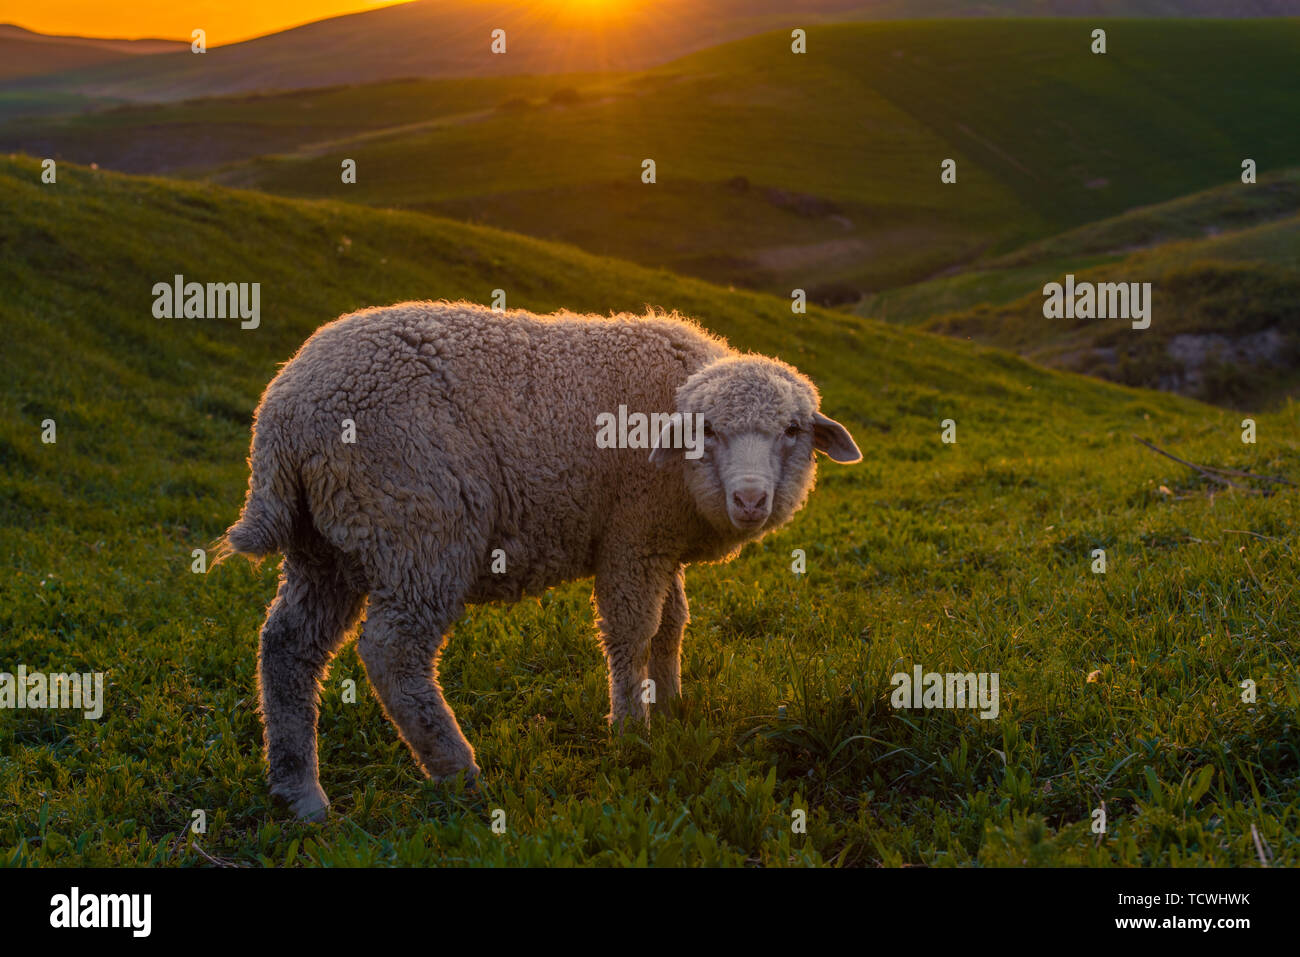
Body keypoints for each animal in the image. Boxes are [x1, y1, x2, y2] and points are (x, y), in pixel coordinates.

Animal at [221, 300, 860, 820]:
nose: (750, 499)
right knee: (391, 651)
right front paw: (631, 733)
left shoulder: (659, 542)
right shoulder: (632, 535)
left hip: (326, 545)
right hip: (418, 528)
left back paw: (299, 792)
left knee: (287, 645)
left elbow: (673, 626)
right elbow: (633, 631)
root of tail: (284, 412)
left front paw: (672, 705)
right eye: (707, 429)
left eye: (792, 429)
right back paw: (459, 772)